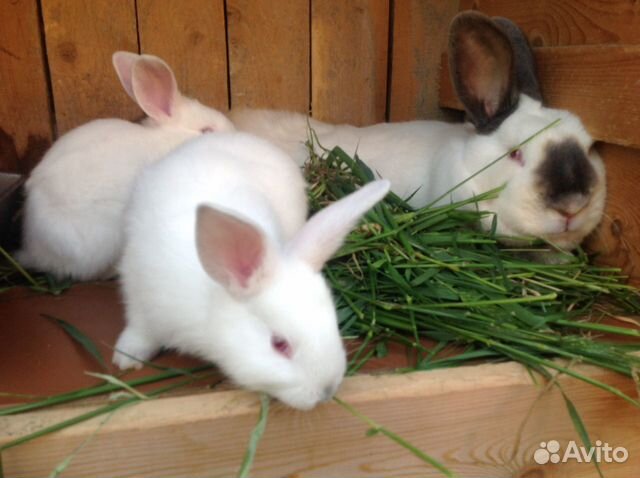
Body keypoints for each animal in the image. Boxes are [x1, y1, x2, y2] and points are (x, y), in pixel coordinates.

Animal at [112, 131, 390, 410]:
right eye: (279, 344)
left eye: (334, 324)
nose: (327, 391)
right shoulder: (139, 292)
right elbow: (140, 329)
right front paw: (126, 359)